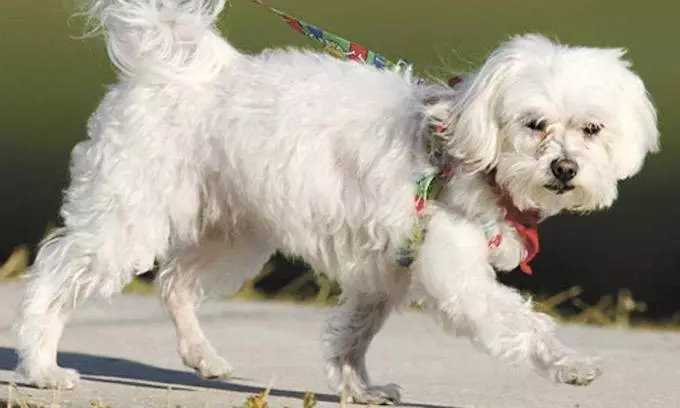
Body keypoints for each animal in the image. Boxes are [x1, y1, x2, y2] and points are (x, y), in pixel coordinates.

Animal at [14, 0, 660, 404]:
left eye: (592, 129)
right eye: (534, 125)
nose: (564, 169)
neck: (469, 153)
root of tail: (178, 69)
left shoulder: (387, 268)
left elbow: (354, 334)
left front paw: (361, 388)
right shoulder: (454, 275)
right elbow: (518, 321)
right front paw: (569, 364)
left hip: (234, 230)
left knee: (175, 281)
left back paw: (203, 357)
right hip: (129, 214)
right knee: (55, 278)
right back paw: (41, 367)